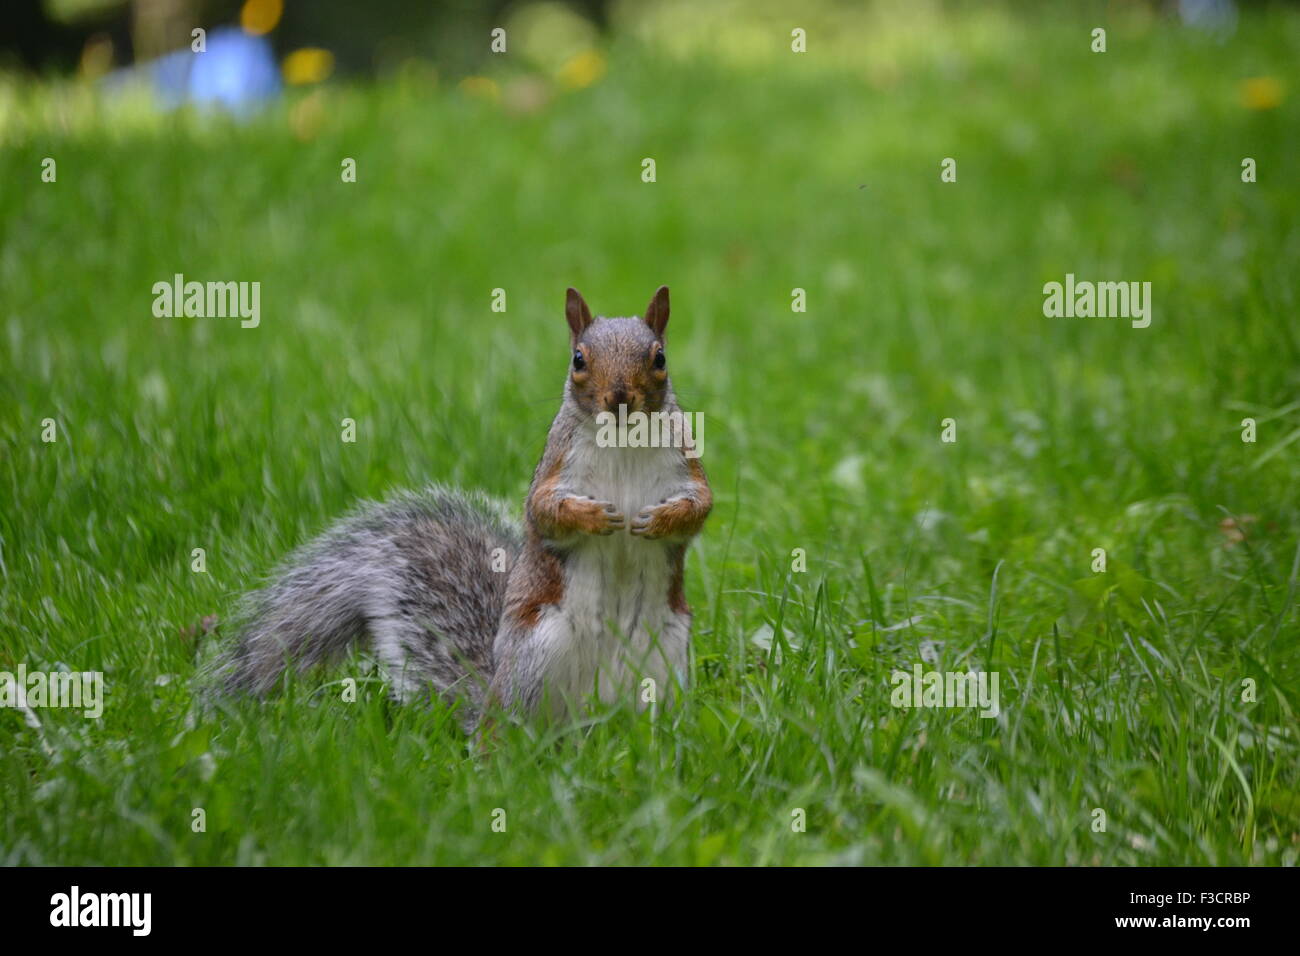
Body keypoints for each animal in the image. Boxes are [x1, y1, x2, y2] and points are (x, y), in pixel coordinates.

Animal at [214, 286, 712, 732]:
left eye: (660, 358)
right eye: (578, 360)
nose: (620, 398)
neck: (622, 439)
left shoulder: (687, 466)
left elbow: (700, 506)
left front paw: (658, 520)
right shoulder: (554, 469)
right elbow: (544, 512)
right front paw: (595, 517)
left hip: (666, 661)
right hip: (534, 659)